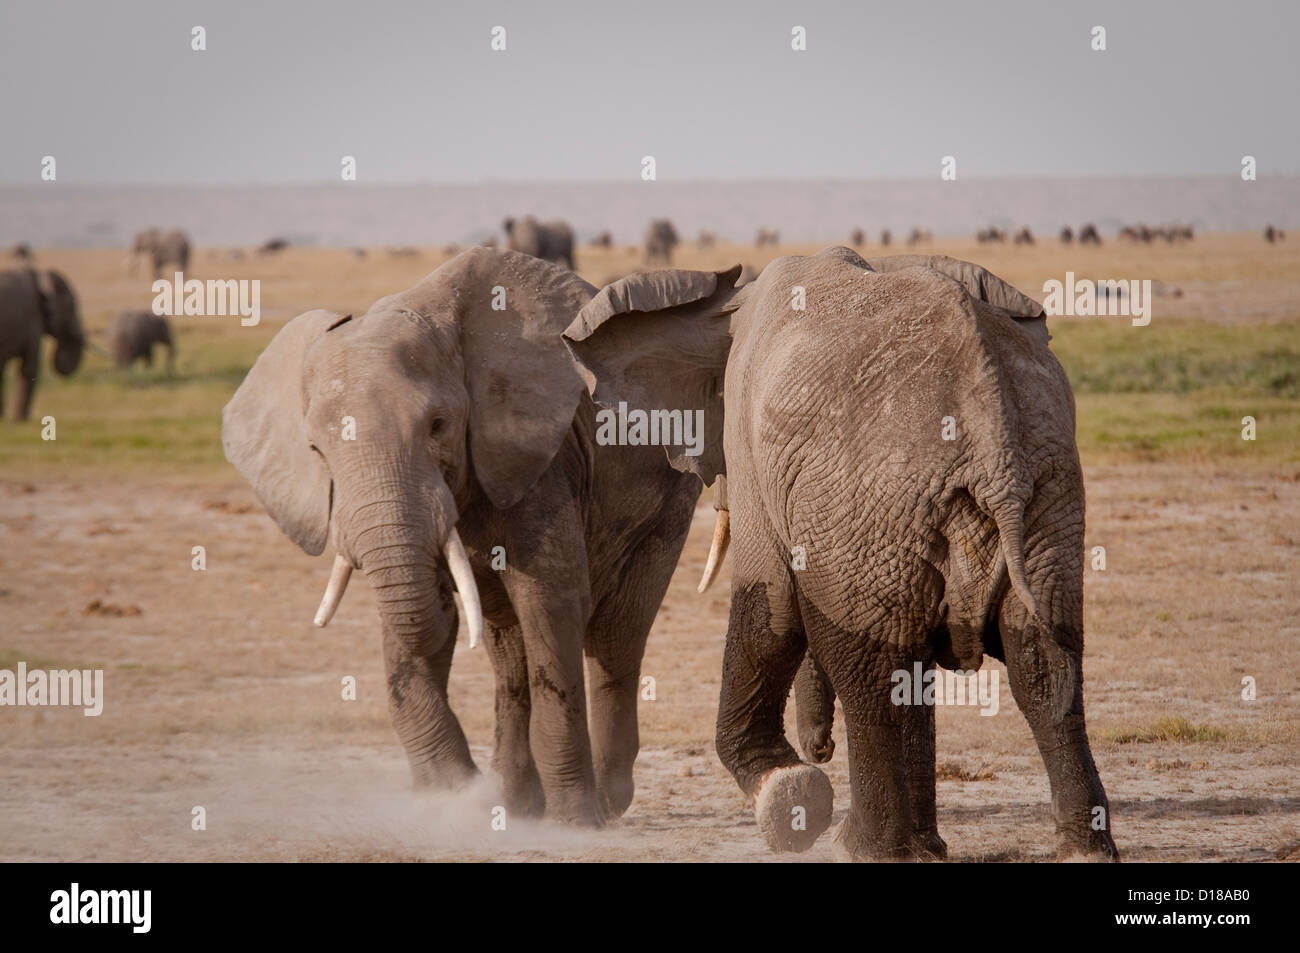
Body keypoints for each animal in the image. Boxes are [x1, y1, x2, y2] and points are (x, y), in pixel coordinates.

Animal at [221, 247, 700, 825]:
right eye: (316, 449)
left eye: (437, 425)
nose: (468, 786)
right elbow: (421, 615)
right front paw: (454, 796)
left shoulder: (539, 458)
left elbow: (551, 603)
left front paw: (572, 823)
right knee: (508, 652)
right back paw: (517, 806)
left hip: (674, 486)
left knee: (617, 631)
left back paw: (605, 803)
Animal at [563, 247, 1119, 862]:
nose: (820, 749)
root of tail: (991, 436)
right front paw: (924, 850)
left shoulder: (752, 448)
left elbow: (771, 603)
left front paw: (788, 800)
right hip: (1040, 492)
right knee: (1042, 660)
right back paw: (1081, 850)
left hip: (879, 502)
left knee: (869, 669)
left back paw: (860, 846)